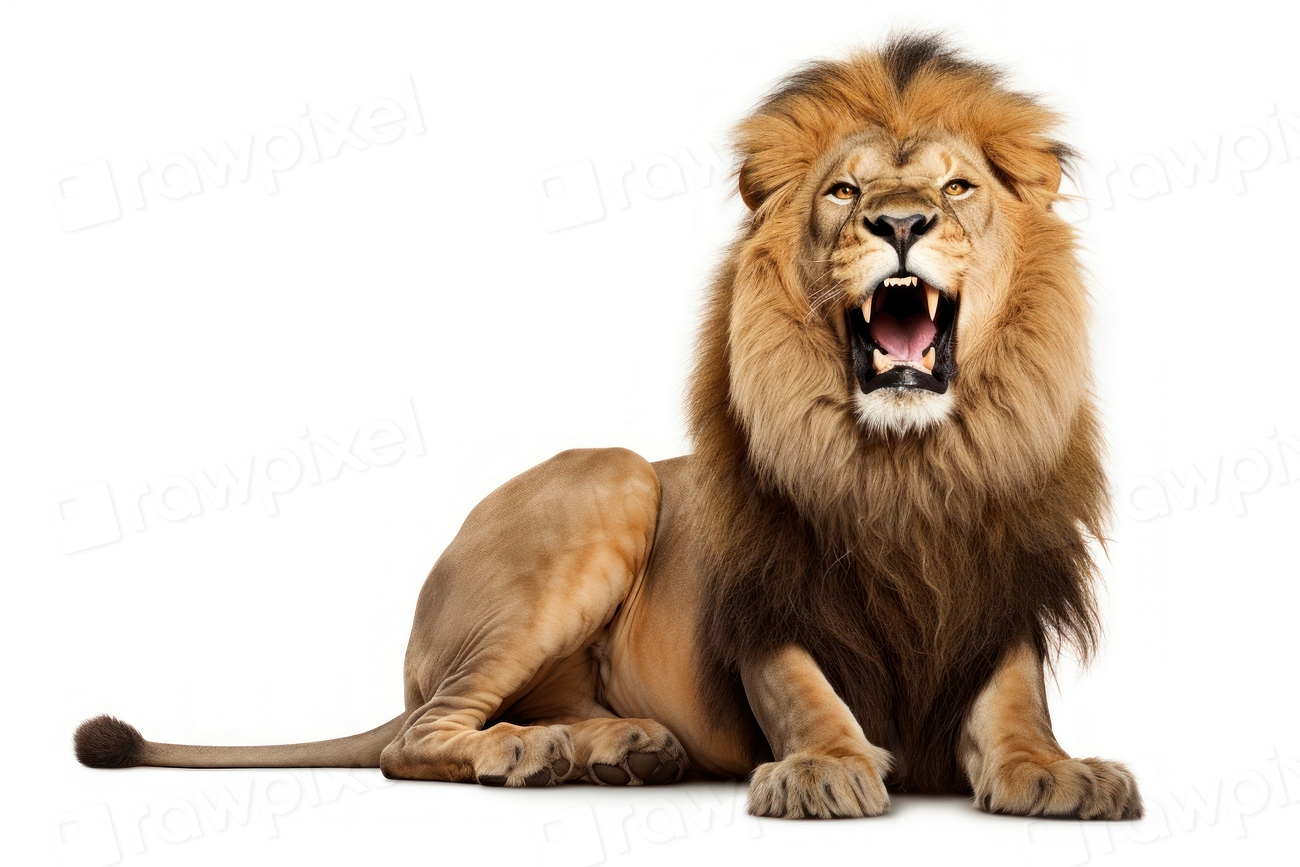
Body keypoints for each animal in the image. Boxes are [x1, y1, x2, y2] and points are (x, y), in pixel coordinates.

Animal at [74, 35, 1143, 820]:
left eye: (958, 189)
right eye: (844, 192)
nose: (902, 223)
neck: (907, 465)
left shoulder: (1001, 583)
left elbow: (1014, 698)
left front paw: (1060, 768)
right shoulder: (768, 601)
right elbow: (802, 686)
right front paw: (826, 765)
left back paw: (618, 745)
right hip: (613, 484)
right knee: (415, 738)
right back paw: (527, 750)